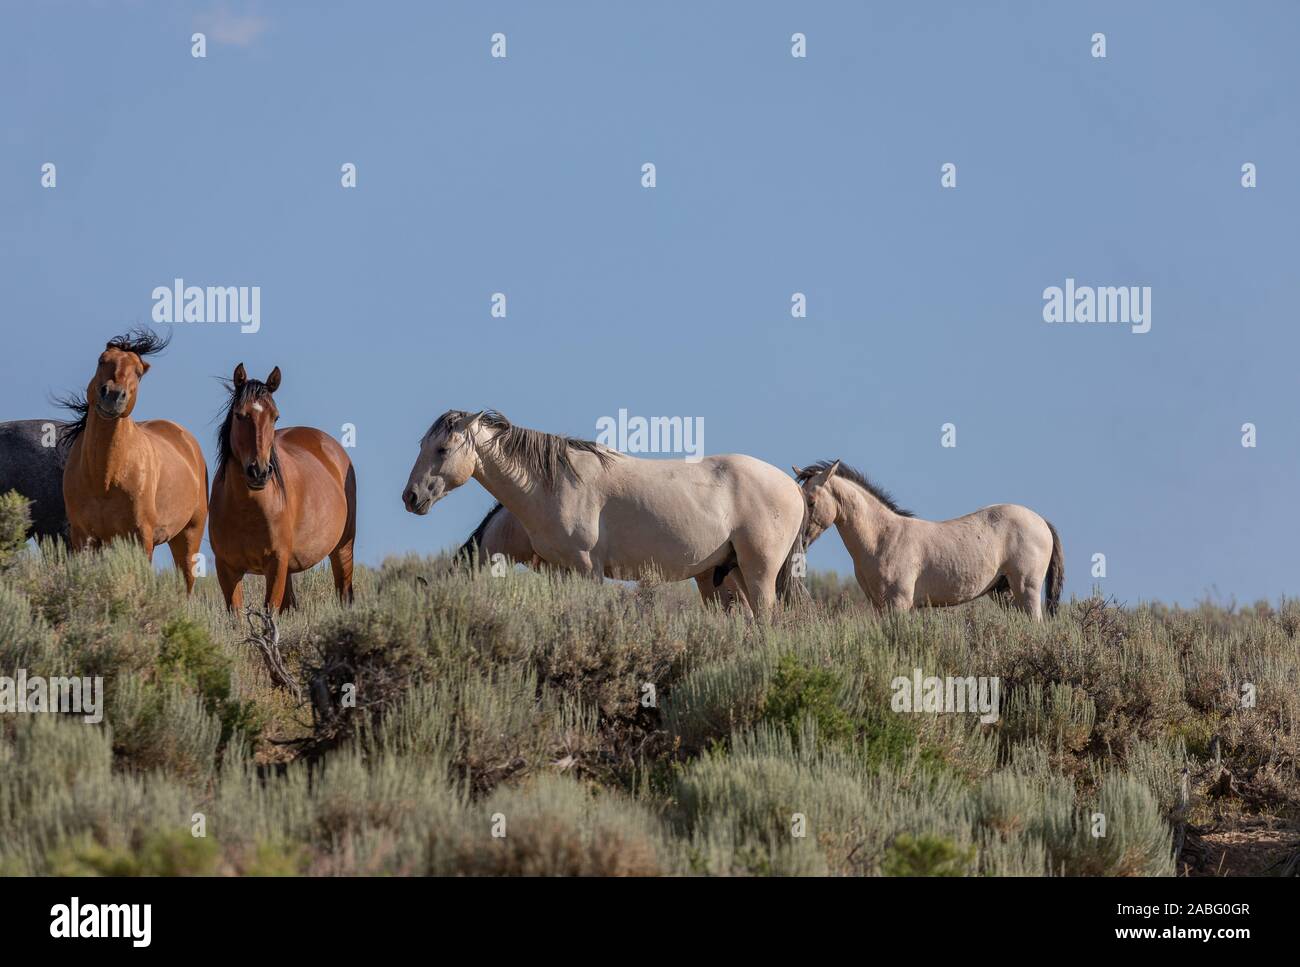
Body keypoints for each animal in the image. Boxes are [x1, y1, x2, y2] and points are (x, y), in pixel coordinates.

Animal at [60, 330, 208, 591]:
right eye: (101, 360)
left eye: (138, 372)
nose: (113, 395)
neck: (104, 478)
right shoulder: (84, 537)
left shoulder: (140, 539)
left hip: (190, 535)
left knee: (186, 582)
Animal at [208, 364, 357, 612]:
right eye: (239, 415)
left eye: (275, 417)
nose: (259, 472)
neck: (246, 509)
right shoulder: (227, 569)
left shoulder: (276, 563)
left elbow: (270, 613)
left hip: (342, 549)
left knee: (344, 592)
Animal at [402, 409, 805, 618]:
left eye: (442, 449)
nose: (412, 496)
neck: (552, 484)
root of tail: (792, 487)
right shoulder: (559, 571)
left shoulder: (586, 569)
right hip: (726, 572)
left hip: (758, 572)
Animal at [794, 460, 1063, 620]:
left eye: (811, 501)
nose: (800, 542)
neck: (882, 538)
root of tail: (1042, 521)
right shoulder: (879, 606)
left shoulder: (899, 604)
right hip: (1005, 593)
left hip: (1027, 590)